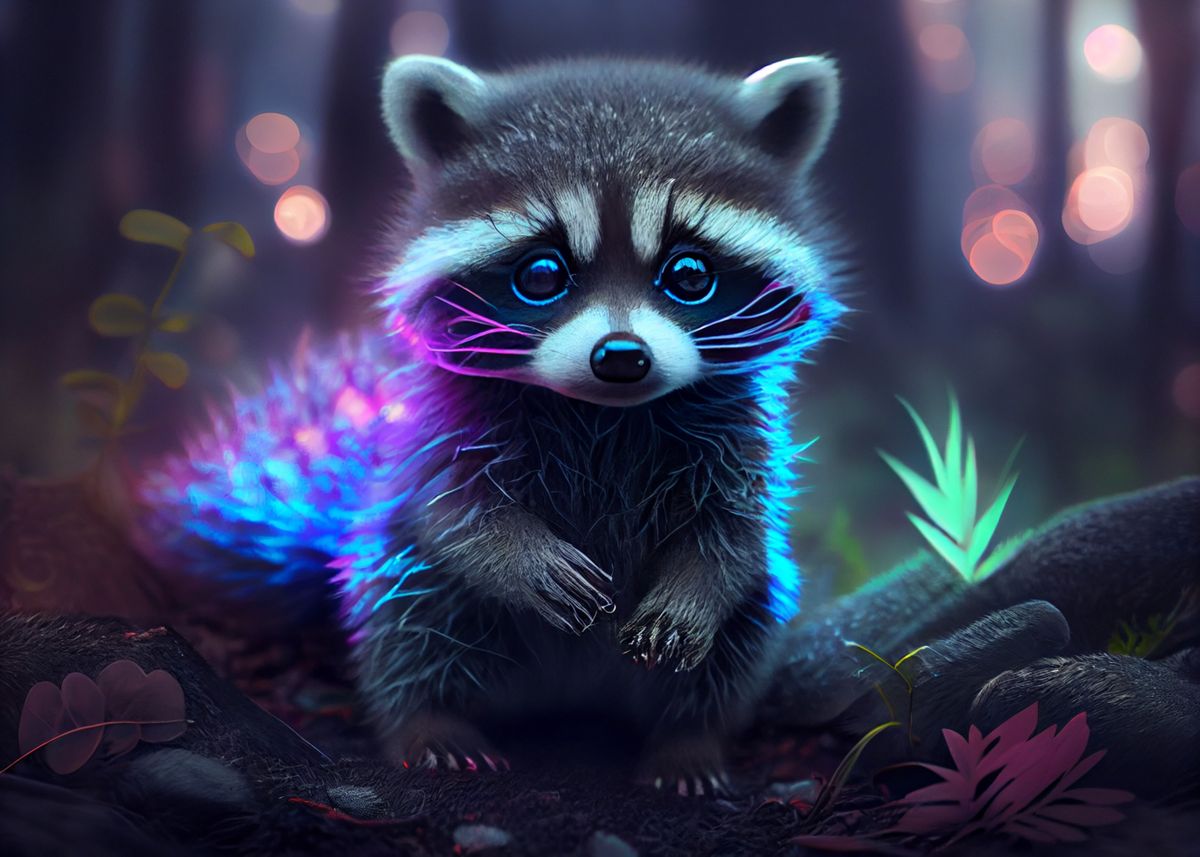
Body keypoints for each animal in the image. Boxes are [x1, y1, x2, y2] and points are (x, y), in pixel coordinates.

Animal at [136, 55, 846, 792]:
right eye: (541, 273)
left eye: (689, 274)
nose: (621, 358)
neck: (606, 412)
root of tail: (570, 695)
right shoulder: (443, 425)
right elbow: (451, 511)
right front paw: (517, 554)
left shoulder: (741, 434)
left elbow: (732, 536)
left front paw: (692, 599)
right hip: (414, 588)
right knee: (408, 609)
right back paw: (429, 719)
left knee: (748, 623)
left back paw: (689, 737)